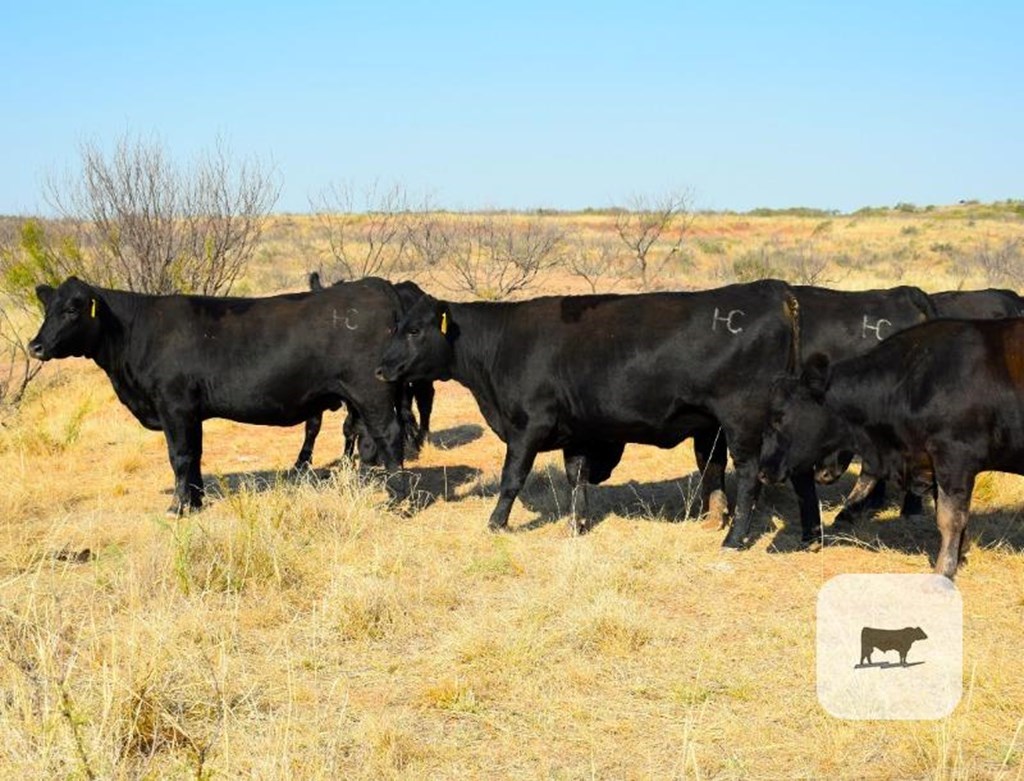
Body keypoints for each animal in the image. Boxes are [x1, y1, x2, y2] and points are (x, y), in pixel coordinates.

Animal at [28, 276, 407, 515]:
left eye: (72, 309)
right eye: (47, 309)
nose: (36, 346)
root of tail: (375, 285)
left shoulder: (174, 405)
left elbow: (179, 456)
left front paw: (178, 507)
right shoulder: (191, 412)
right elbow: (195, 455)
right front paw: (194, 502)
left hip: (370, 389)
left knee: (388, 434)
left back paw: (398, 499)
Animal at [376, 281, 809, 545]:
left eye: (414, 330)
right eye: (397, 326)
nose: (381, 369)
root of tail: (772, 290)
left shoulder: (529, 426)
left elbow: (512, 478)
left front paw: (495, 523)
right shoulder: (577, 431)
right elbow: (577, 477)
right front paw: (577, 524)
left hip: (742, 420)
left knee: (749, 475)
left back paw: (733, 539)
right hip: (715, 425)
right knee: (714, 468)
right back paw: (712, 520)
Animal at [758, 318, 1024, 578]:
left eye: (778, 418)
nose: (763, 471)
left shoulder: (955, 457)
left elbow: (950, 518)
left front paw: (944, 571)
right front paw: (961, 556)